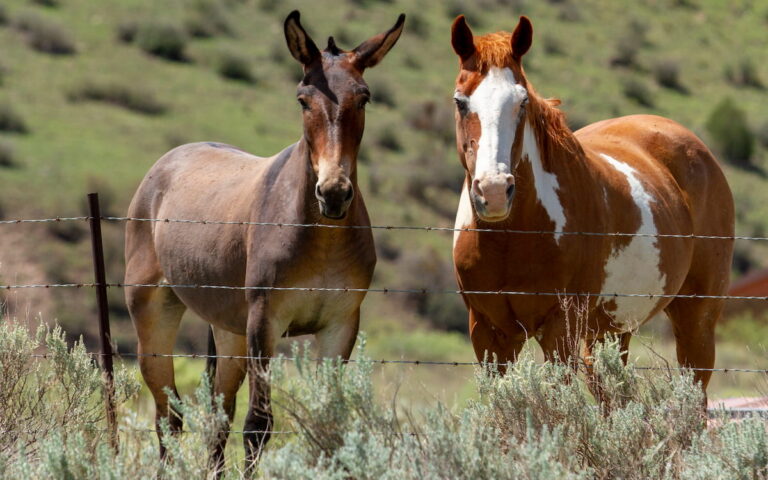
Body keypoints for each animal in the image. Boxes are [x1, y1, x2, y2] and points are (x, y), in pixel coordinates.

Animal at [124, 10, 405, 471]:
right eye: (302, 99)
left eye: (363, 98)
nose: (333, 194)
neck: (321, 239)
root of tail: (164, 165)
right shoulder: (265, 323)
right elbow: (259, 424)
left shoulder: (339, 326)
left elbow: (330, 422)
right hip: (155, 317)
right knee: (169, 416)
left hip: (228, 333)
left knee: (216, 414)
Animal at [449, 15, 734, 399]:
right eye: (461, 102)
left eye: (522, 102)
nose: (493, 191)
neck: (512, 237)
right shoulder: (488, 333)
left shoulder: (560, 329)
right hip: (610, 332)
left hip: (696, 319)